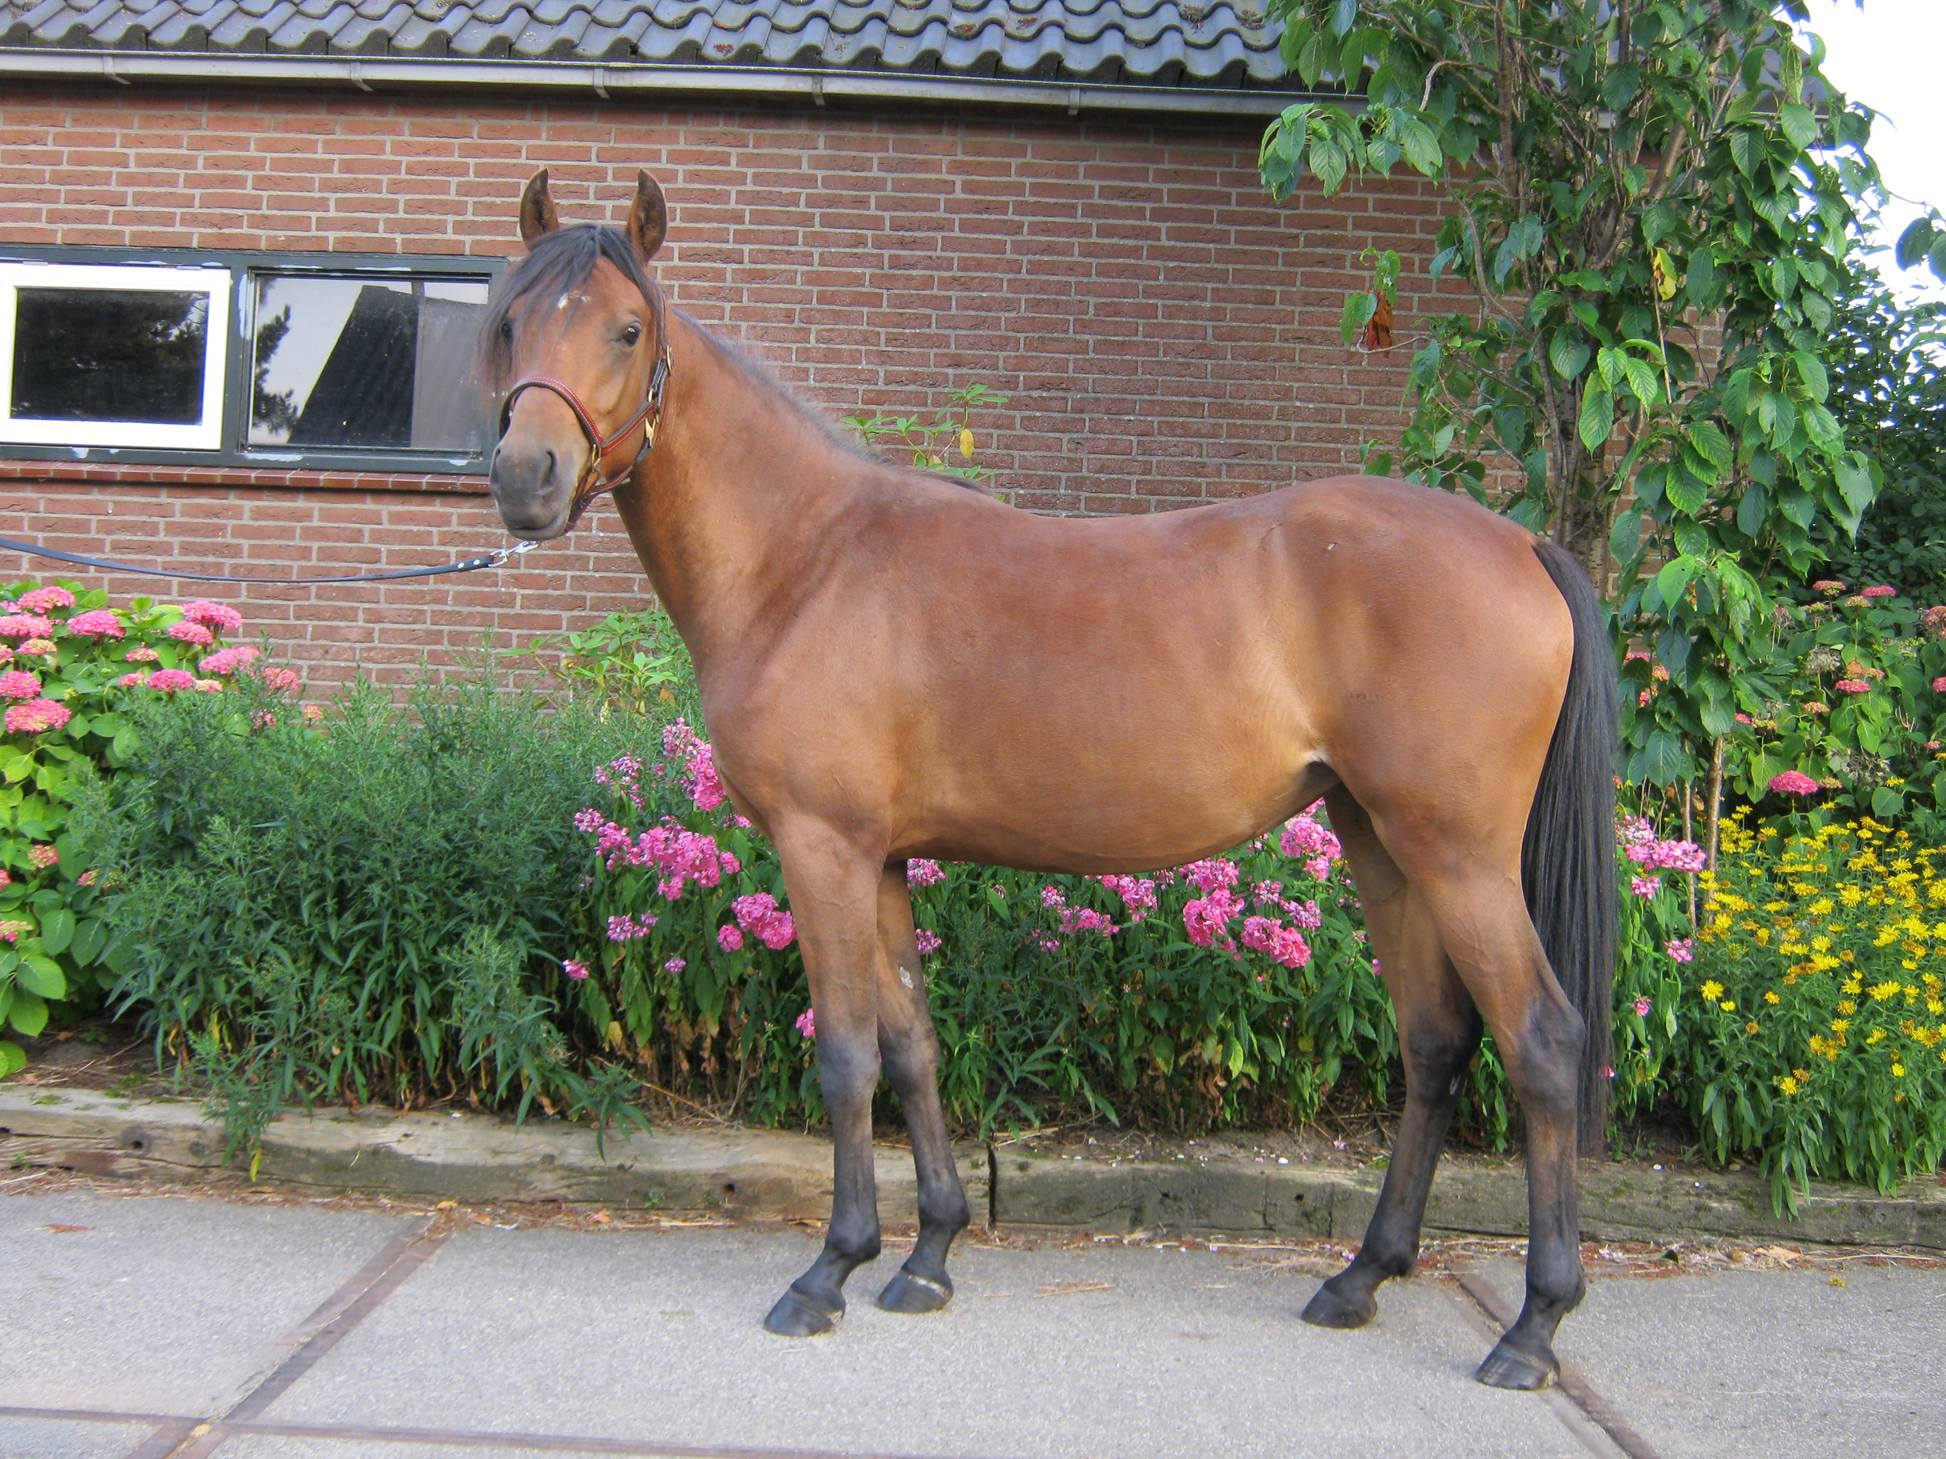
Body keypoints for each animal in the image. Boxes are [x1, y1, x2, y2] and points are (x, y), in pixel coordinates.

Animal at [479, 170, 1619, 1392]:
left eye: (626, 328)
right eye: (511, 321)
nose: (525, 477)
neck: (805, 559)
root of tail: (1519, 546)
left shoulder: (821, 846)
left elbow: (843, 1057)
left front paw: (828, 1270)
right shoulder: (880, 857)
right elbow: (910, 1047)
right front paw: (926, 1255)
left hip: (1459, 858)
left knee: (1542, 1043)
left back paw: (1531, 1325)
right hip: (1379, 840)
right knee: (1436, 1041)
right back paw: (1360, 1277)